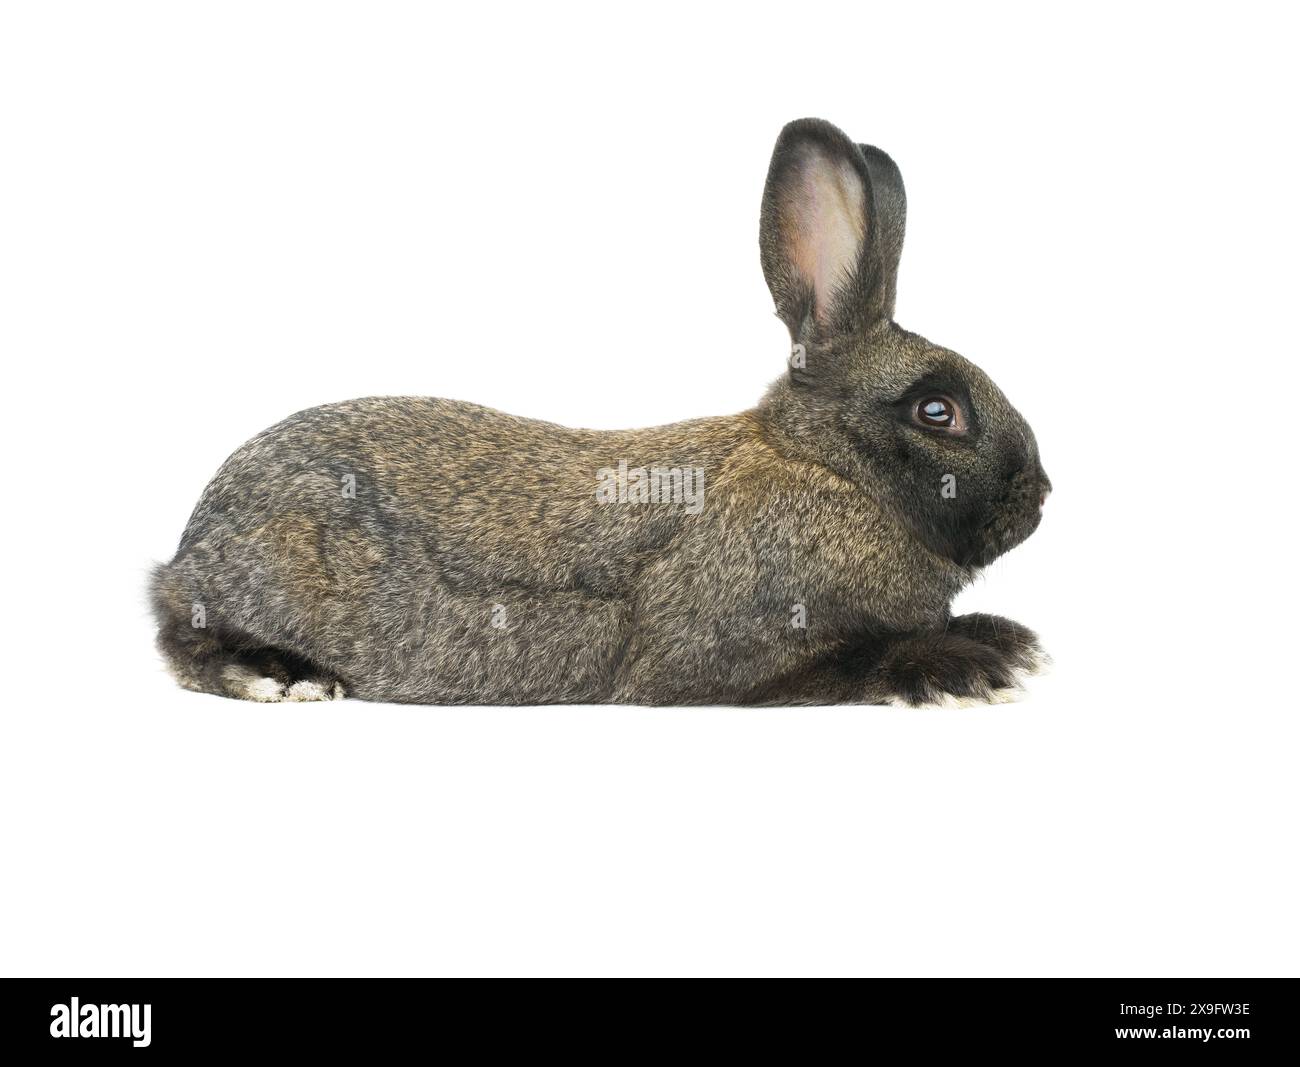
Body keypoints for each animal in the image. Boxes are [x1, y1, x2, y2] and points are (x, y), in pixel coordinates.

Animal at [151, 117, 1051, 707]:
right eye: (937, 411)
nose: (1041, 495)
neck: (830, 467)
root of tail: (192, 539)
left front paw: (1009, 641)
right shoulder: (728, 651)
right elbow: (851, 662)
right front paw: (966, 667)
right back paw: (282, 675)